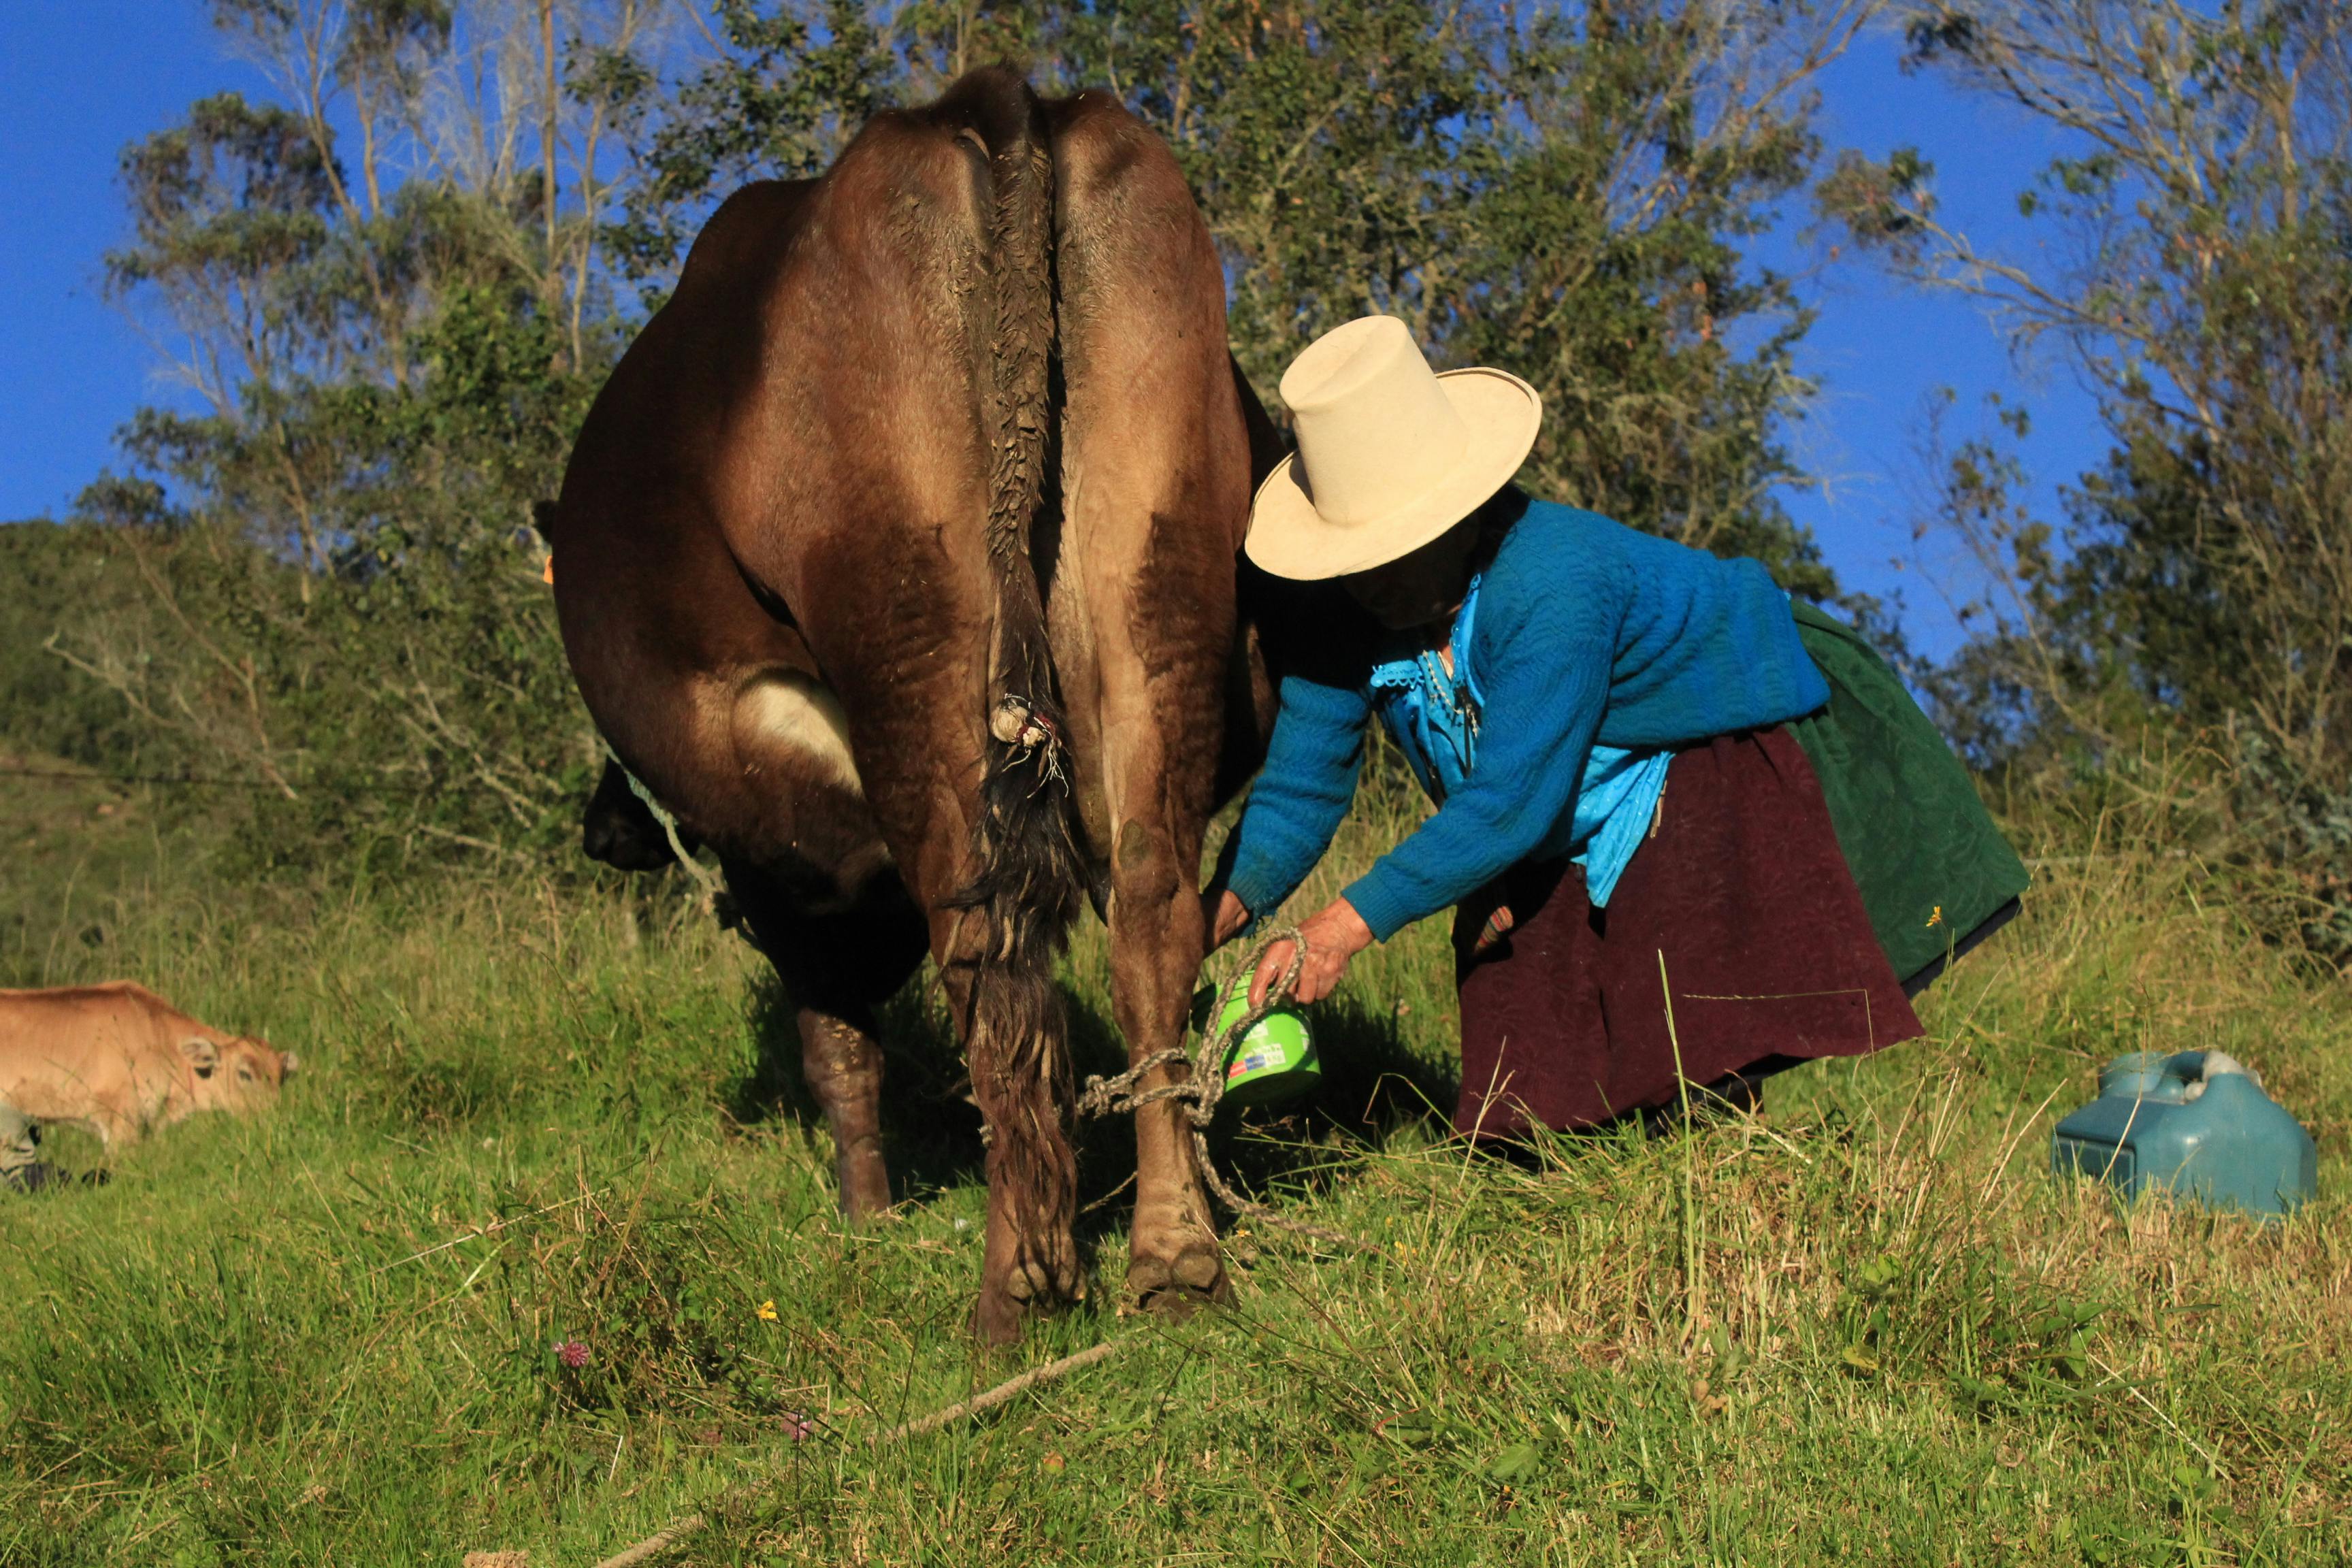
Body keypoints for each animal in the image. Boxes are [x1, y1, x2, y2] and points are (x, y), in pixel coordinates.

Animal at [547, 68, 1280, 1340]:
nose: (603, 828)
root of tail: (986, 102)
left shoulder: (779, 865)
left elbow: (836, 1039)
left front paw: (865, 1214)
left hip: (912, 641)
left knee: (985, 944)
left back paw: (1018, 1285)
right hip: (1155, 581)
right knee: (1151, 913)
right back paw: (1175, 1258)